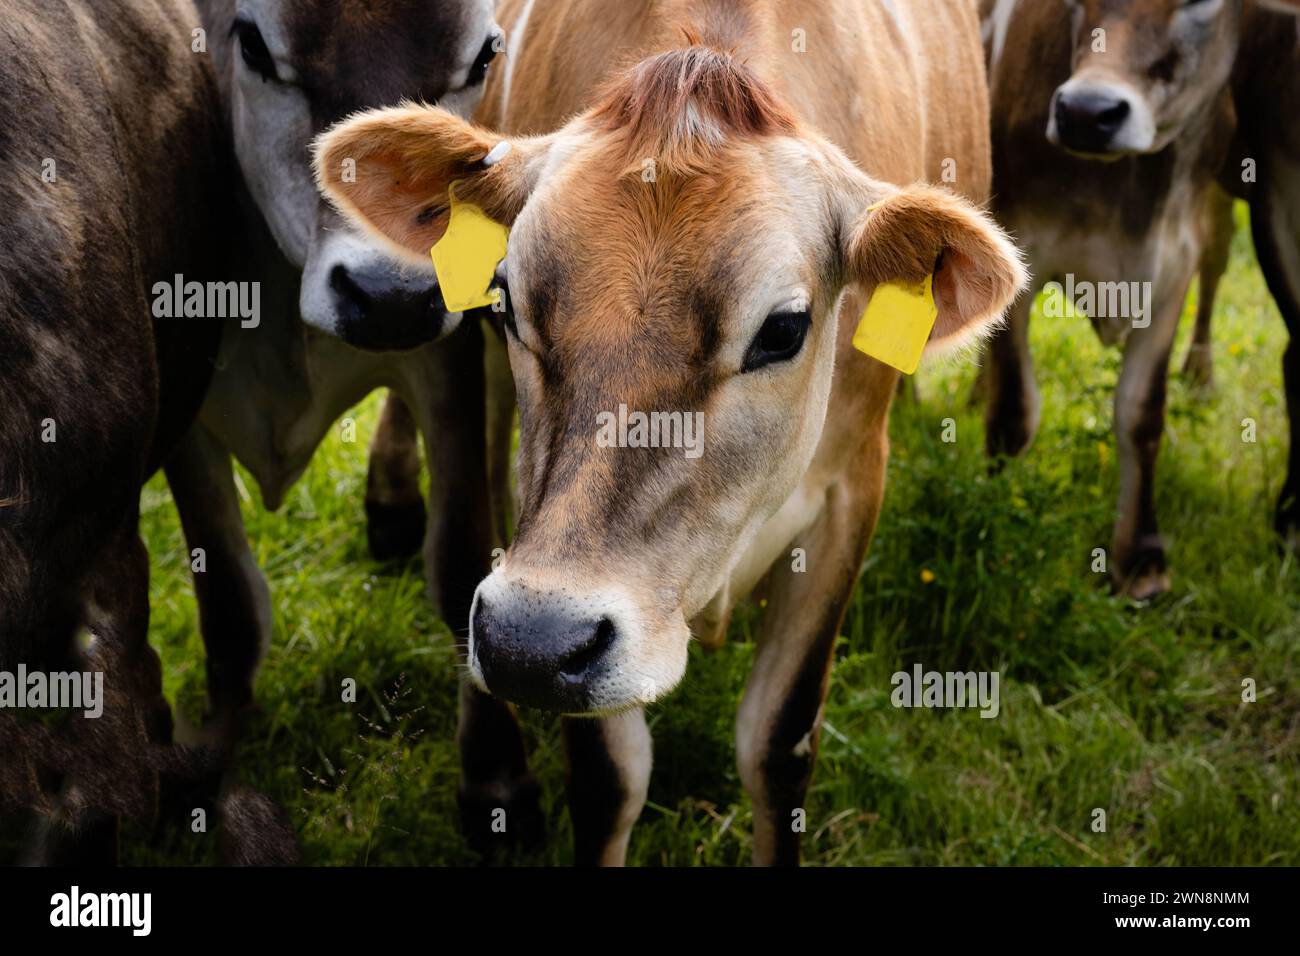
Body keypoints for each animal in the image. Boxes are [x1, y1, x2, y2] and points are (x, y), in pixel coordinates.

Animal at [314, 0, 1028, 865]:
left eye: (784, 329)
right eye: (506, 300)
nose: (526, 639)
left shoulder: (850, 489)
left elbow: (777, 742)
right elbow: (610, 777)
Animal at [978, 0, 1274, 599]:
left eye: (1199, 4)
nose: (1085, 113)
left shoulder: (1172, 270)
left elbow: (1141, 413)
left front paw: (1140, 558)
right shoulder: (1016, 240)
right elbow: (1015, 409)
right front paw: (994, 516)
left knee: (1217, 265)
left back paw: (1200, 377)